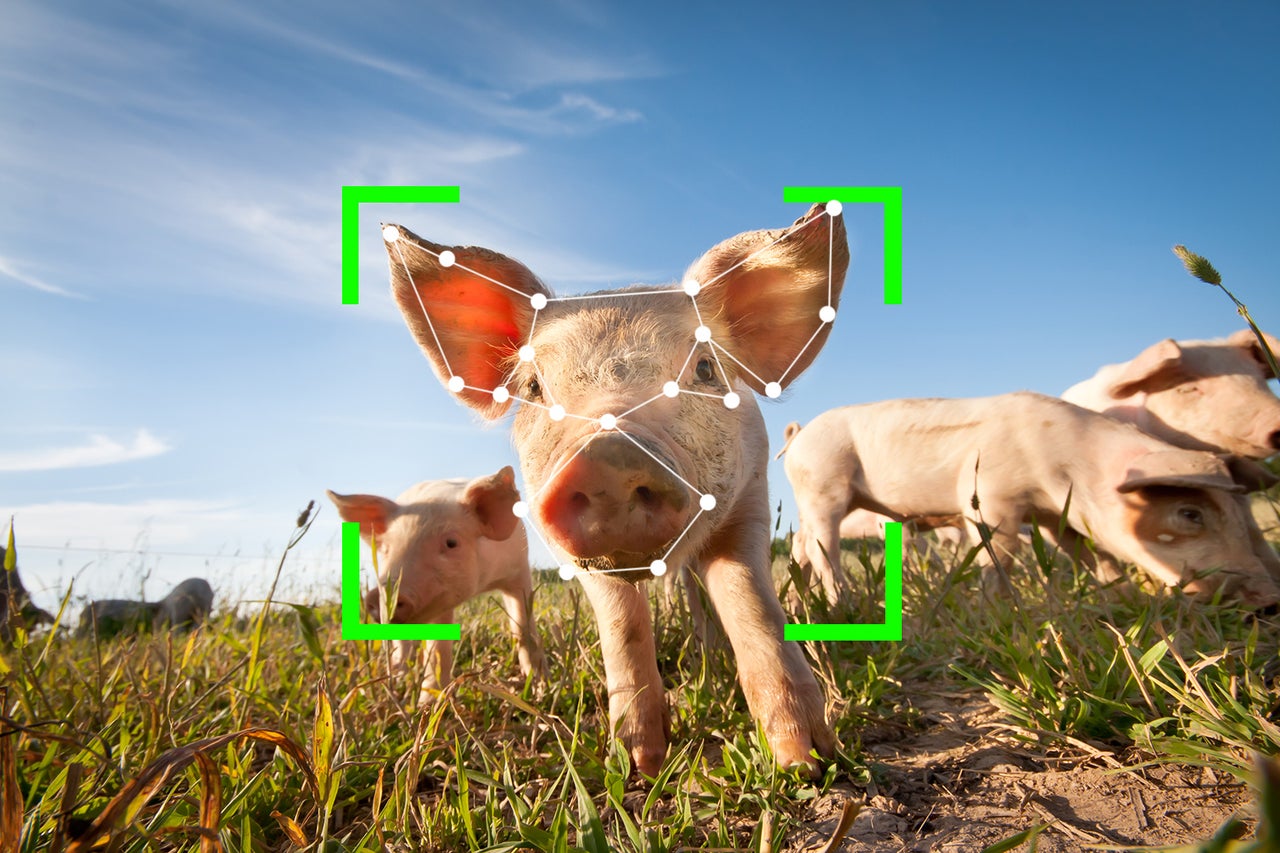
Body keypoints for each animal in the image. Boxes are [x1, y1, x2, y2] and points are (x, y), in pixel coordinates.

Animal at [327, 466, 546, 701]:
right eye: (386, 549)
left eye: (451, 543)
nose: (380, 595)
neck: (483, 584)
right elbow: (437, 650)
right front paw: (429, 702)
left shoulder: (519, 570)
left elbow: (523, 626)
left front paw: (539, 685)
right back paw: (399, 675)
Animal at [381, 203, 845, 776]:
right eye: (534, 387)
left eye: (705, 368)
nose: (607, 457)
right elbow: (622, 625)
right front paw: (638, 762)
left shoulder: (751, 500)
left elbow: (751, 602)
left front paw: (806, 760)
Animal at [781, 392, 1280, 608]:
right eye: (1189, 513)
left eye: (1240, 518)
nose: (1269, 597)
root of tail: (800, 432)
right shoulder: (989, 499)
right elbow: (999, 553)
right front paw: (997, 607)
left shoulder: (1054, 517)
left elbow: (1090, 554)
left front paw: (1121, 596)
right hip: (824, 485)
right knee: (824, 548)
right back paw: (843, 605)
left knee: (800, 546)